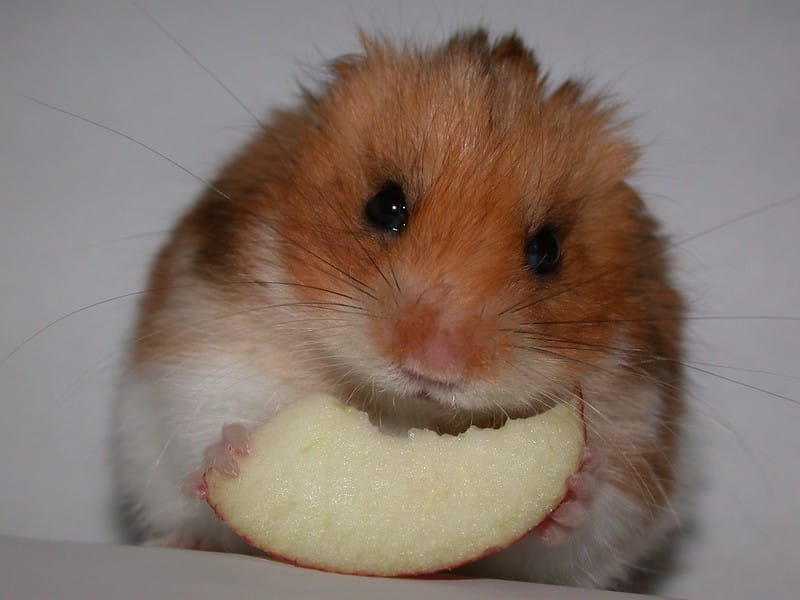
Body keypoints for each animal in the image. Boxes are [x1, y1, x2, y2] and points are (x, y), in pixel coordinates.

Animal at [114, 30, 686, 590]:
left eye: (547, 250)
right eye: (385, 206)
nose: (436, 365)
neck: (410, 409)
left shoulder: (638, 432)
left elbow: (590, 520)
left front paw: (578, 480)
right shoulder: (205, 349)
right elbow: (210, 416)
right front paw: (235, 454)